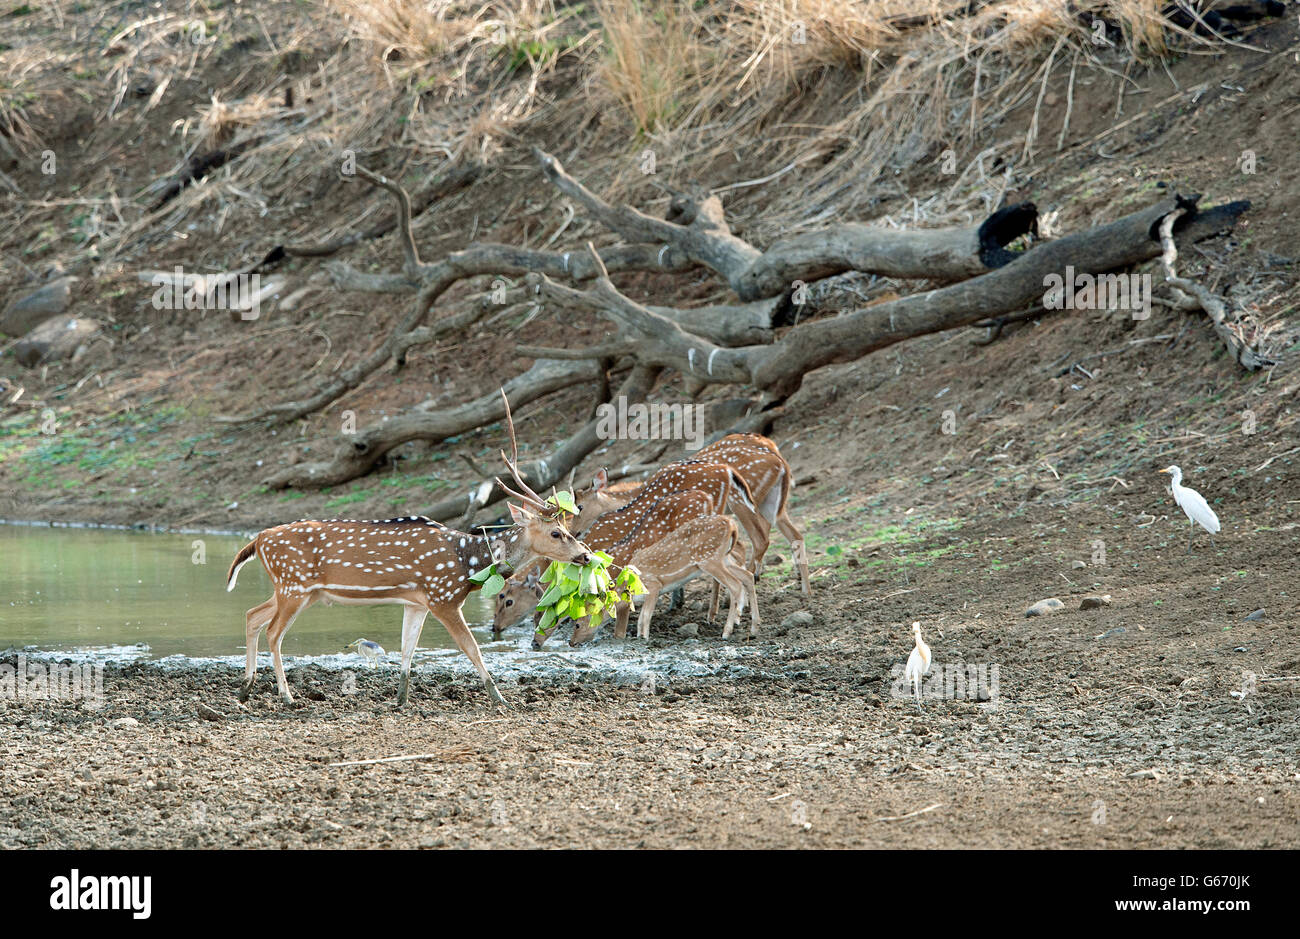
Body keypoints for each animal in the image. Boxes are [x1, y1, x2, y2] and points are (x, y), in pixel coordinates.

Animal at [224, 393, 591, 709]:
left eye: (568, 529)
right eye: (556, 533)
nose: (586, 555)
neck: (469, 564)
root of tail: (258, 539)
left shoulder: (416, 602)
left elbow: (407, 651)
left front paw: (400, 699)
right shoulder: (444, 597)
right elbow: (471, 648)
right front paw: (500, 699)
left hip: (296, 589)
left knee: (252, 615)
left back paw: (244, 689)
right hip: (294, 585)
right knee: (273, 632)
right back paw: (286, 696)